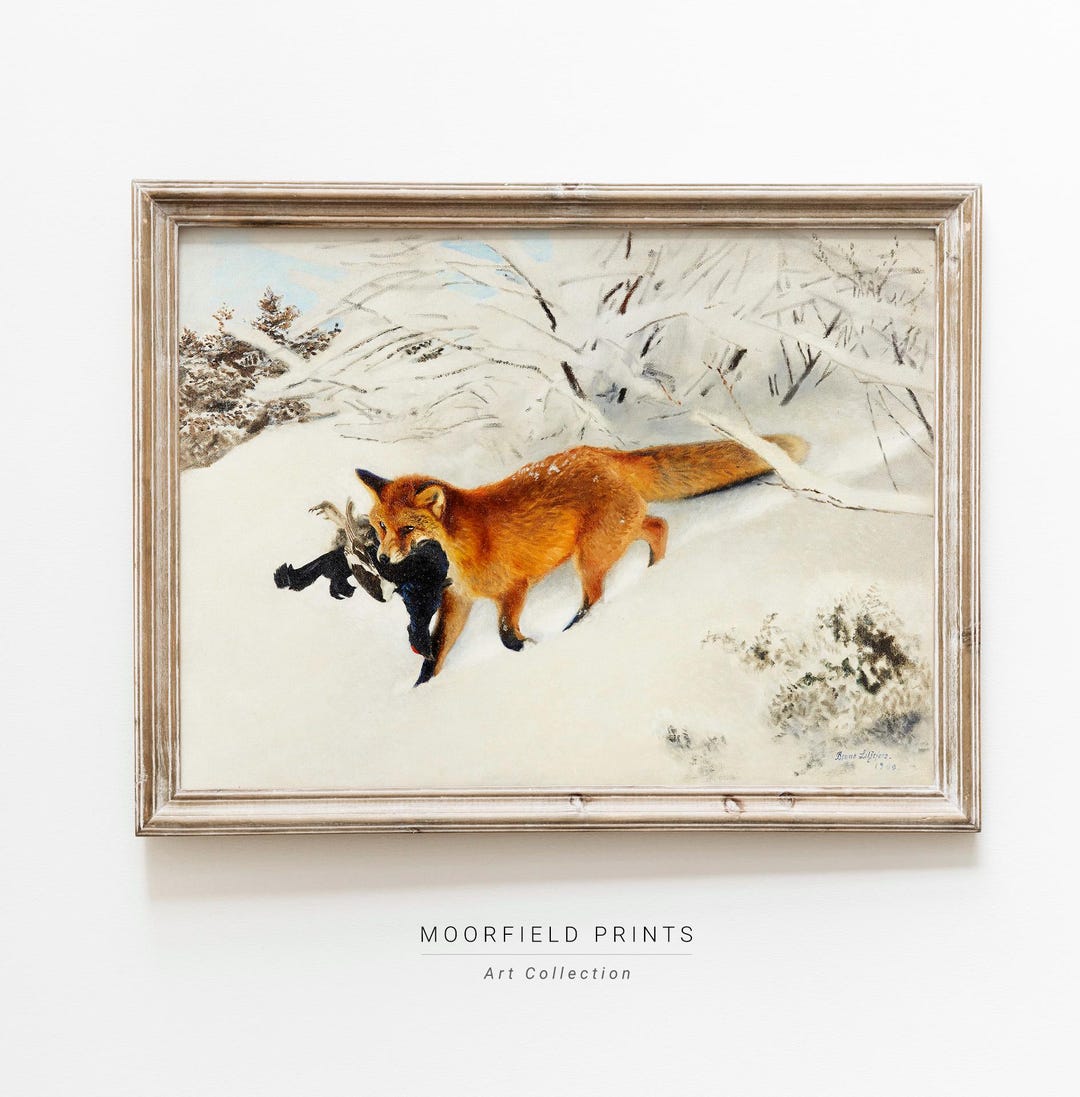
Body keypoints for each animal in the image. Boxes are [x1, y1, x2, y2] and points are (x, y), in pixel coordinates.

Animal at [356, 434, 809, 681]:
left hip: (590, 556)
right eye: (380, 526)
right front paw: (420, 689)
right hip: (615, 536)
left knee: (596, 597)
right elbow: (436, 652)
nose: (383, 558)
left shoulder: (514, 588)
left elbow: (505, 635)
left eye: (407, 529)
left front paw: (531, 647)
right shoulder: (458, 599)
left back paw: (577, 629)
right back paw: (654, 571)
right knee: (659, 525)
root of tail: (604, 453)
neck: (463, 544)